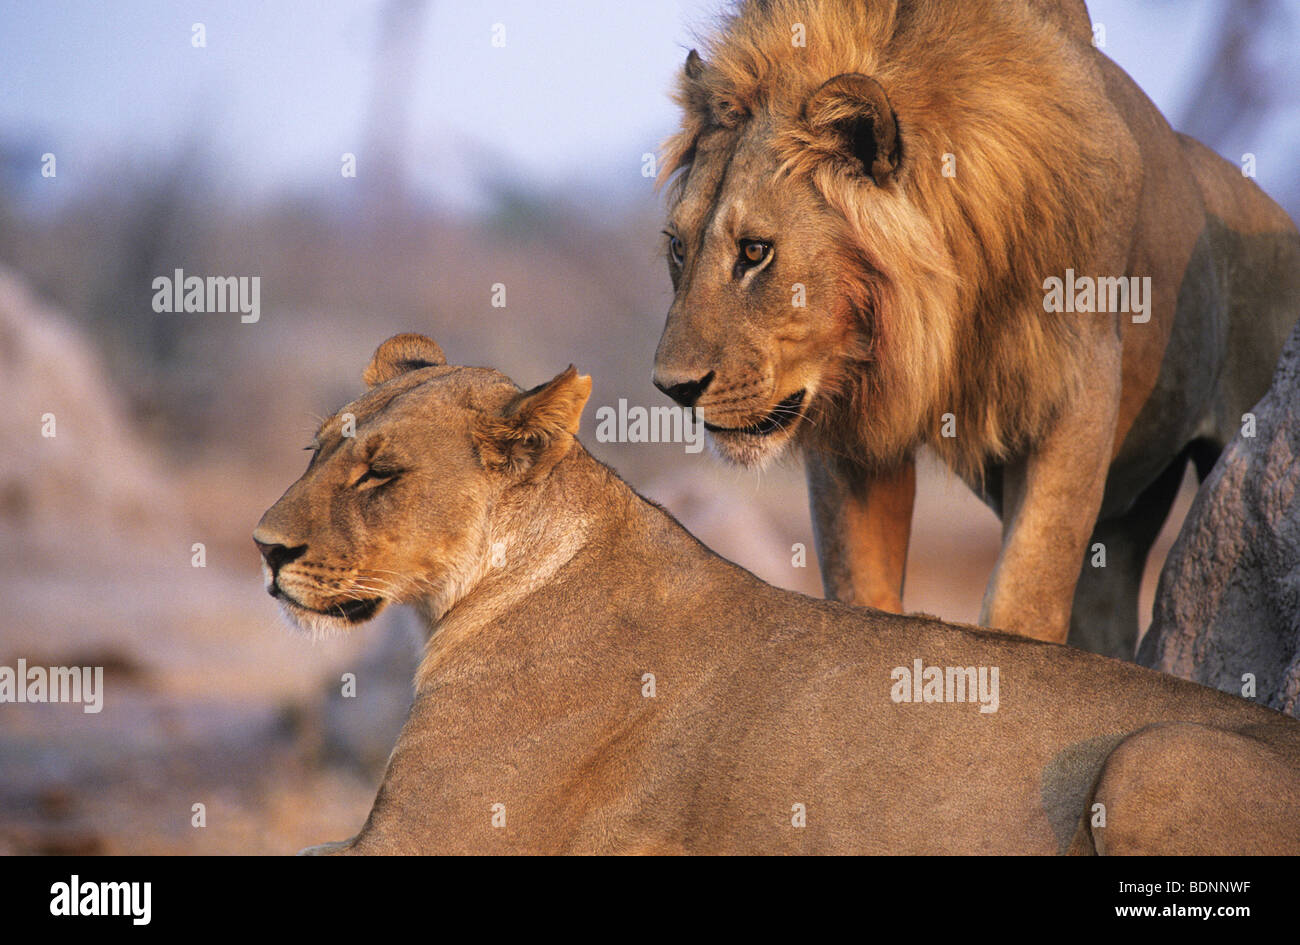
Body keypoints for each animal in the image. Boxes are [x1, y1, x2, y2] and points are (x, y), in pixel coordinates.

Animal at [650, 0, 1300, 657]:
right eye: (678, 247)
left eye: (755, 251)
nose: (672, 388)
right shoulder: (856, 434)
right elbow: (863, 591)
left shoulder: (1079, 396)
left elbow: (1026, 598)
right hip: (1124, 519)